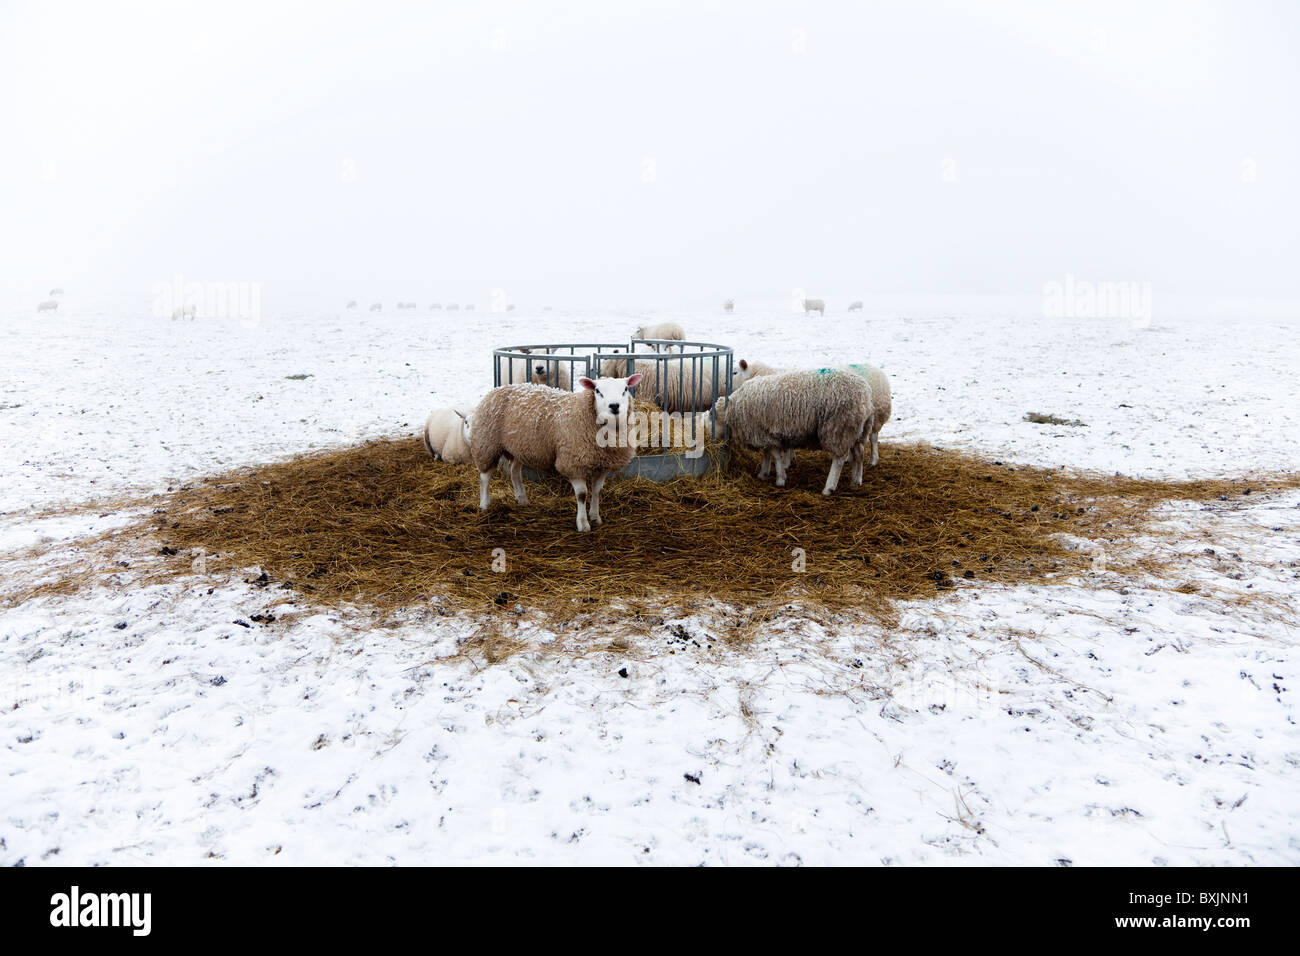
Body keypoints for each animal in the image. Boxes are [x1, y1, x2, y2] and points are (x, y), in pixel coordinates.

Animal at [470, 374, 644, 531]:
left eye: (625, 389)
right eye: (597, 391)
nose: (614, 406)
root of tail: (499, 388)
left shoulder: (603, 464)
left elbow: (597, 491)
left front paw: (595, 517)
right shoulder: (572, 463)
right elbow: (582, 495)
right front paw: (583, 524)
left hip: (519, 446)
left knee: (515, 472)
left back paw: (522, 499)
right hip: (487, 443)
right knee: (485, 477)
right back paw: (485, 505)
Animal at [710, 368, 873, 495]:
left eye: (712, 418)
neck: (734, 410)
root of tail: (866, 395)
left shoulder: (764, 433)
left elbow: (775, 456)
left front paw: (780, 478)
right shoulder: (764, 433)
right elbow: (767, 454)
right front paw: (764, 473)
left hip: (839, 427)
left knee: (839, 459)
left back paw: (829, 487)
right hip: (858, 431)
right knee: (859, 453)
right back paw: (856, 480)